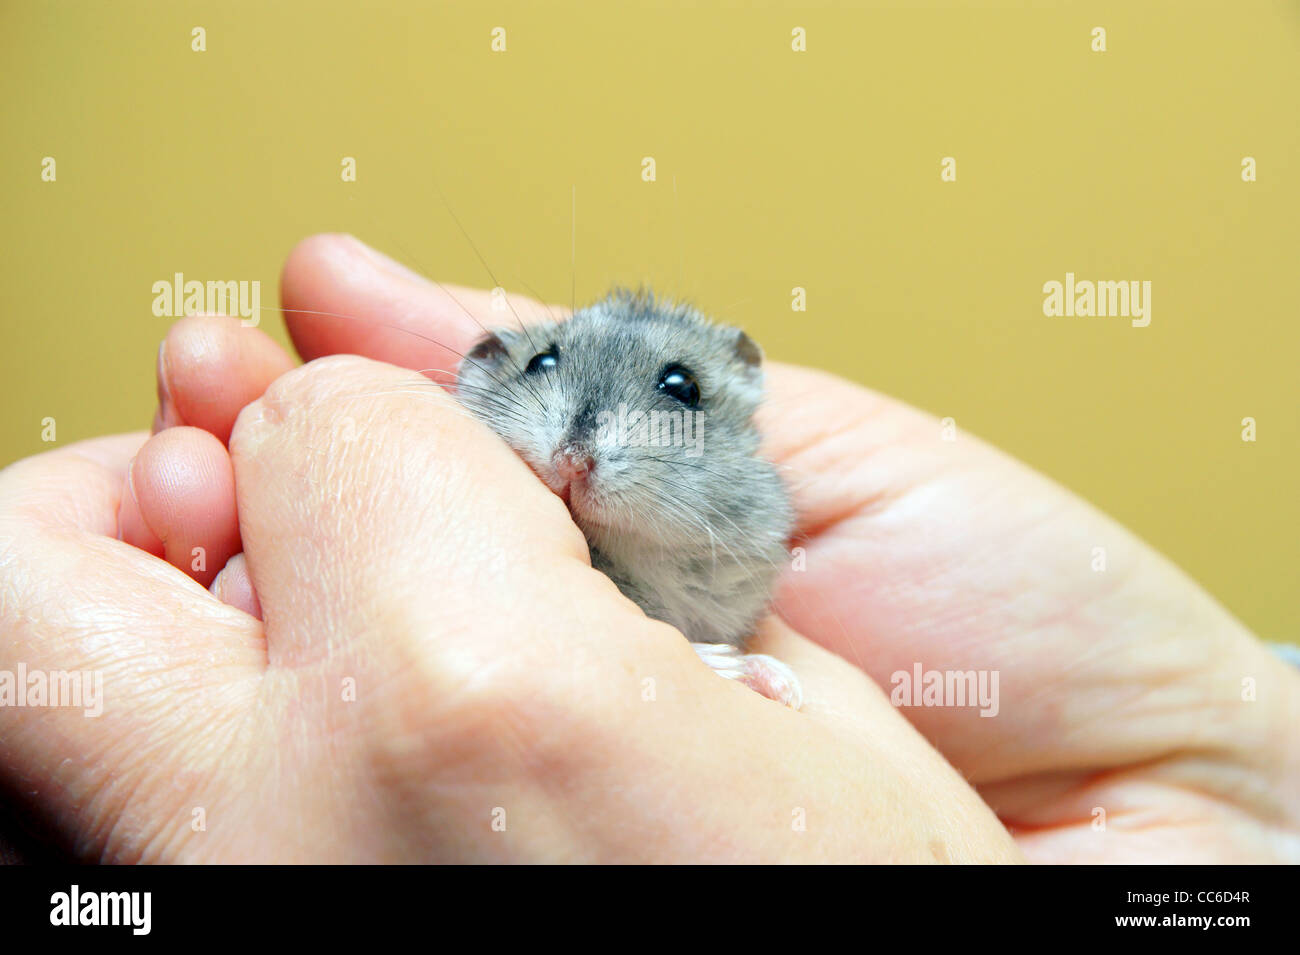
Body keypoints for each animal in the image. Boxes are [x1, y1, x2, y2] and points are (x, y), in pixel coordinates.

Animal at [456, 289, 802, 707]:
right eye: (538, 362)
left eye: (683, 387)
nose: (571, 463)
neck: (631, 551)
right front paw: (729, 664)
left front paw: (786, 685)